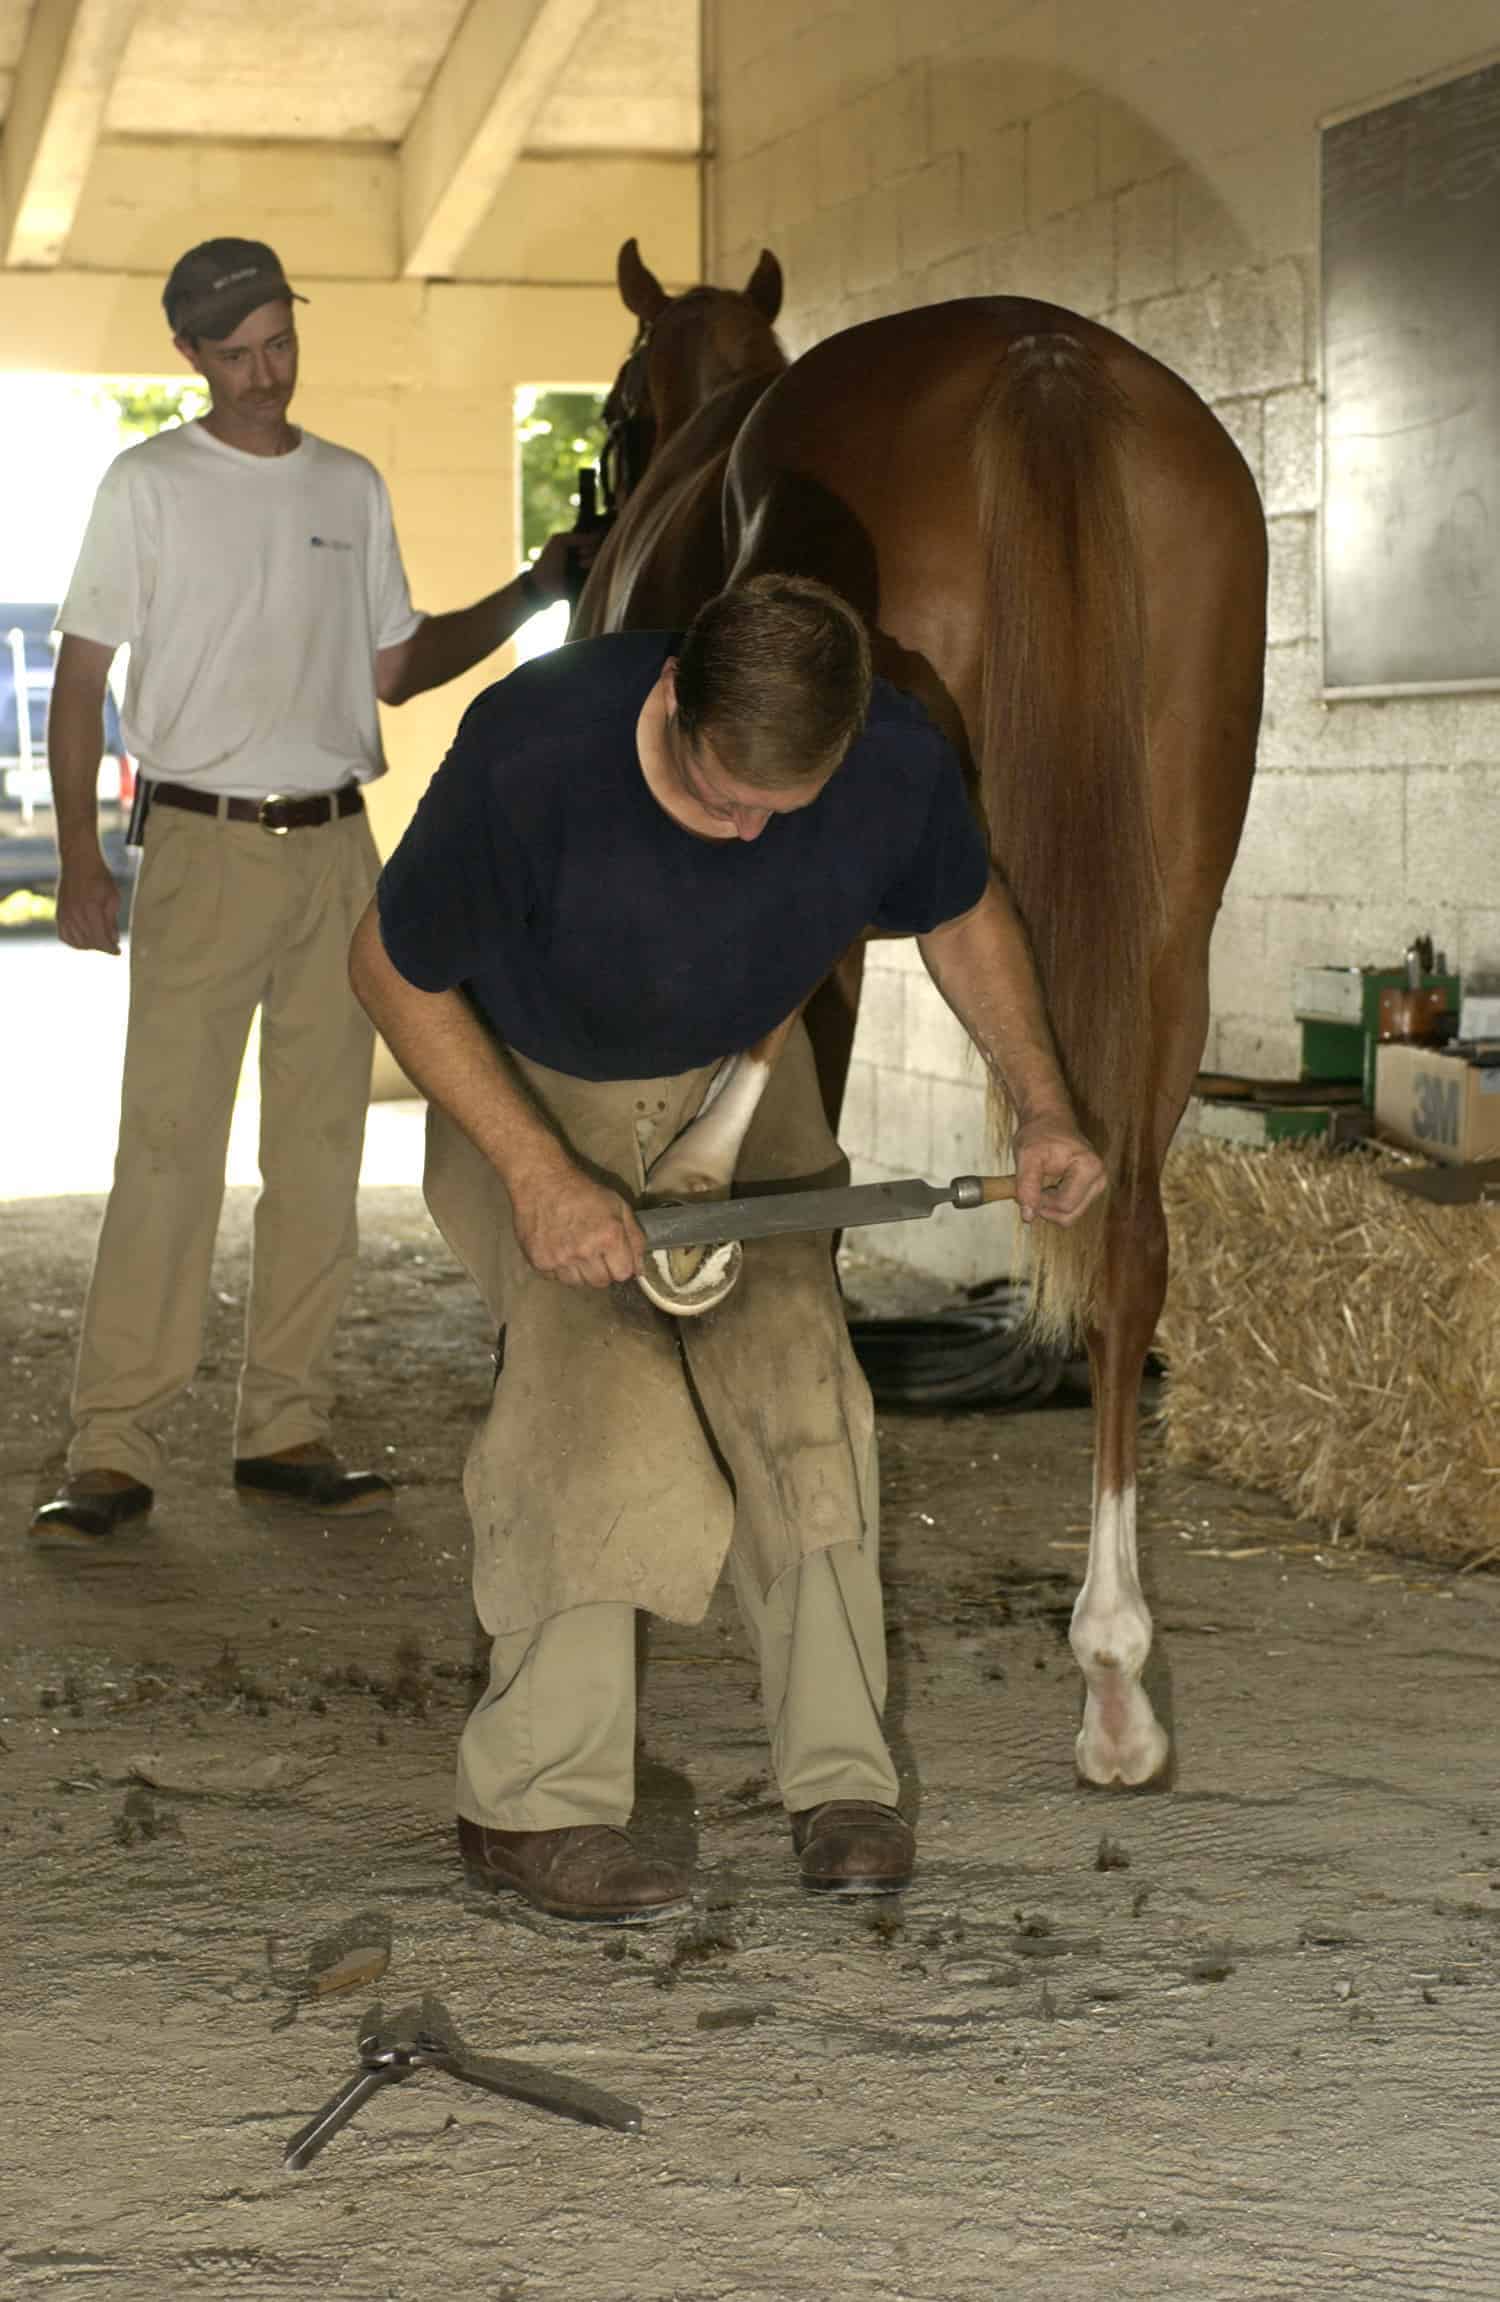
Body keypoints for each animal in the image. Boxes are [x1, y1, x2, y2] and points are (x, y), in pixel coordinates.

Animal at [577, 240, 1267, 1792]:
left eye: (610, 417)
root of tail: (1043, 360)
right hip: (1174, 915)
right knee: (1130, 1235)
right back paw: (1115, 1681)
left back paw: (693, 1204)